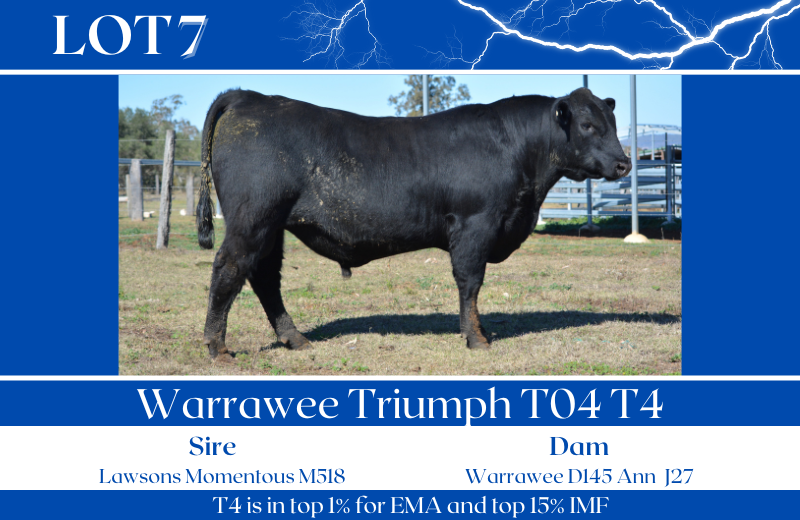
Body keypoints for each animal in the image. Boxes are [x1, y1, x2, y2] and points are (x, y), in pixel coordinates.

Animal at [196, 87, 631, 361]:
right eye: (588, 125)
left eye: (612, 121)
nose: (624, 163)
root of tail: (248, 96)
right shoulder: (475, 225)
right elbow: (470, 283)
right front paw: (476, 338)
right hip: (253, 219)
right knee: (229, 269)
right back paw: (217, 348)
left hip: (272, 227)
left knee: (265, 277)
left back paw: (295, 339)